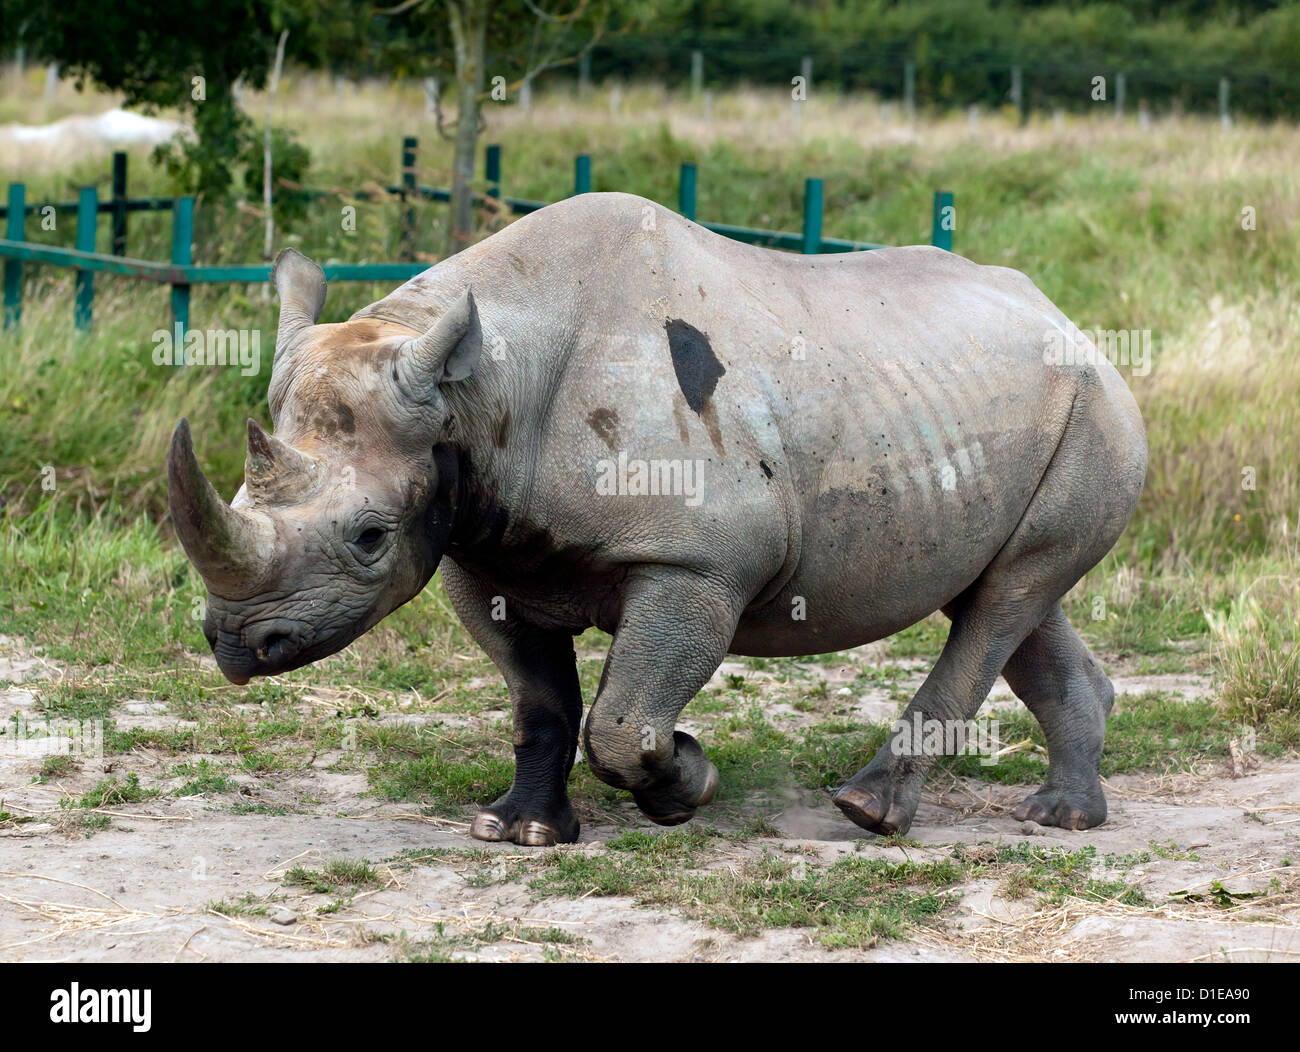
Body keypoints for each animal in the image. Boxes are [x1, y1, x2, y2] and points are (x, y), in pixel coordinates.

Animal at [168, 192, 1147, 845]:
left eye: (370, 538)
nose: (236, 644)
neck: (478, 392)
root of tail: (1070, 319)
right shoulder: (483, 554)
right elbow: (540, 701)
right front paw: (521, 832)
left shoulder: (698, 563)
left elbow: (622, 719)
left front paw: (687, 781)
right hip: (993, 403)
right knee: (1007, 591)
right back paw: (1064, 816)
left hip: (1096, 407)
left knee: (1006, 595)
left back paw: (869, 812)